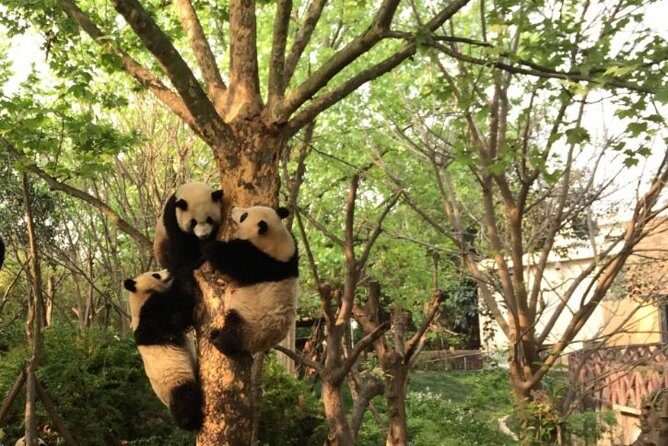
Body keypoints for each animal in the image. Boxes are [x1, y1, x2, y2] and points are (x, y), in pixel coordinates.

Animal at [123, 269, 203, 431]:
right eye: (155, 274)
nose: (167, 271)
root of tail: (164, 401)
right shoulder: (151, 316)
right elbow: (179, 311)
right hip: (174, 382)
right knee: (185, 398)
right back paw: (190, 422)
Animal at [203, 206, 299, 356]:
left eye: (244, 216)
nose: (233, 210)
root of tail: (260, 346)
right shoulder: (292, 255)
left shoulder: (258, 262)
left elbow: (230, 259)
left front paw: (210, 246)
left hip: (252, 324)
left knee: (234, 328)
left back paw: (218, 339)